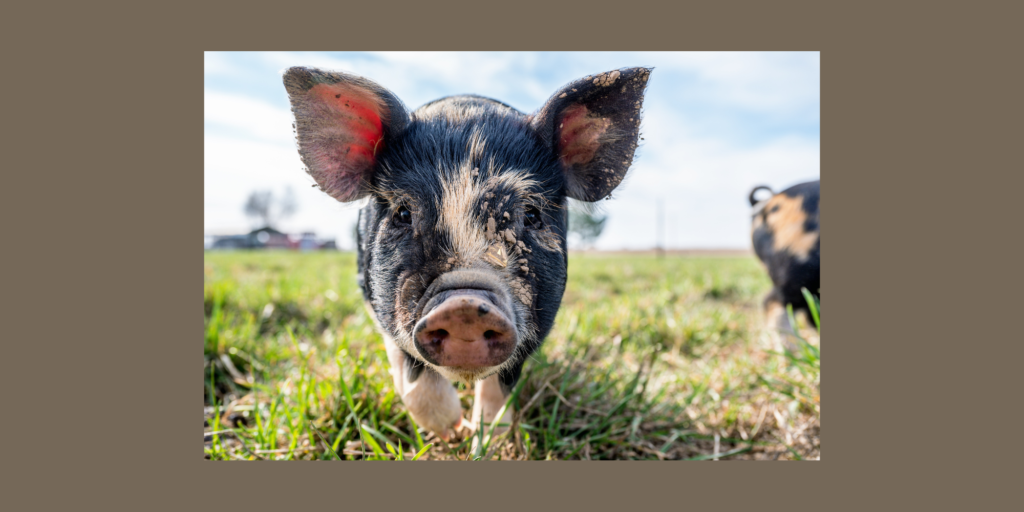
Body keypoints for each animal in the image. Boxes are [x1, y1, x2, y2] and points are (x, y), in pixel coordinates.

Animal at [283, 66, 651, 440]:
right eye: (403, 212)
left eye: (531, 214)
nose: (464, 307)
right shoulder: (378, 302)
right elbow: (412, 379)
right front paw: (453, 431)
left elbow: (499, 390)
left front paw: (485, 436)